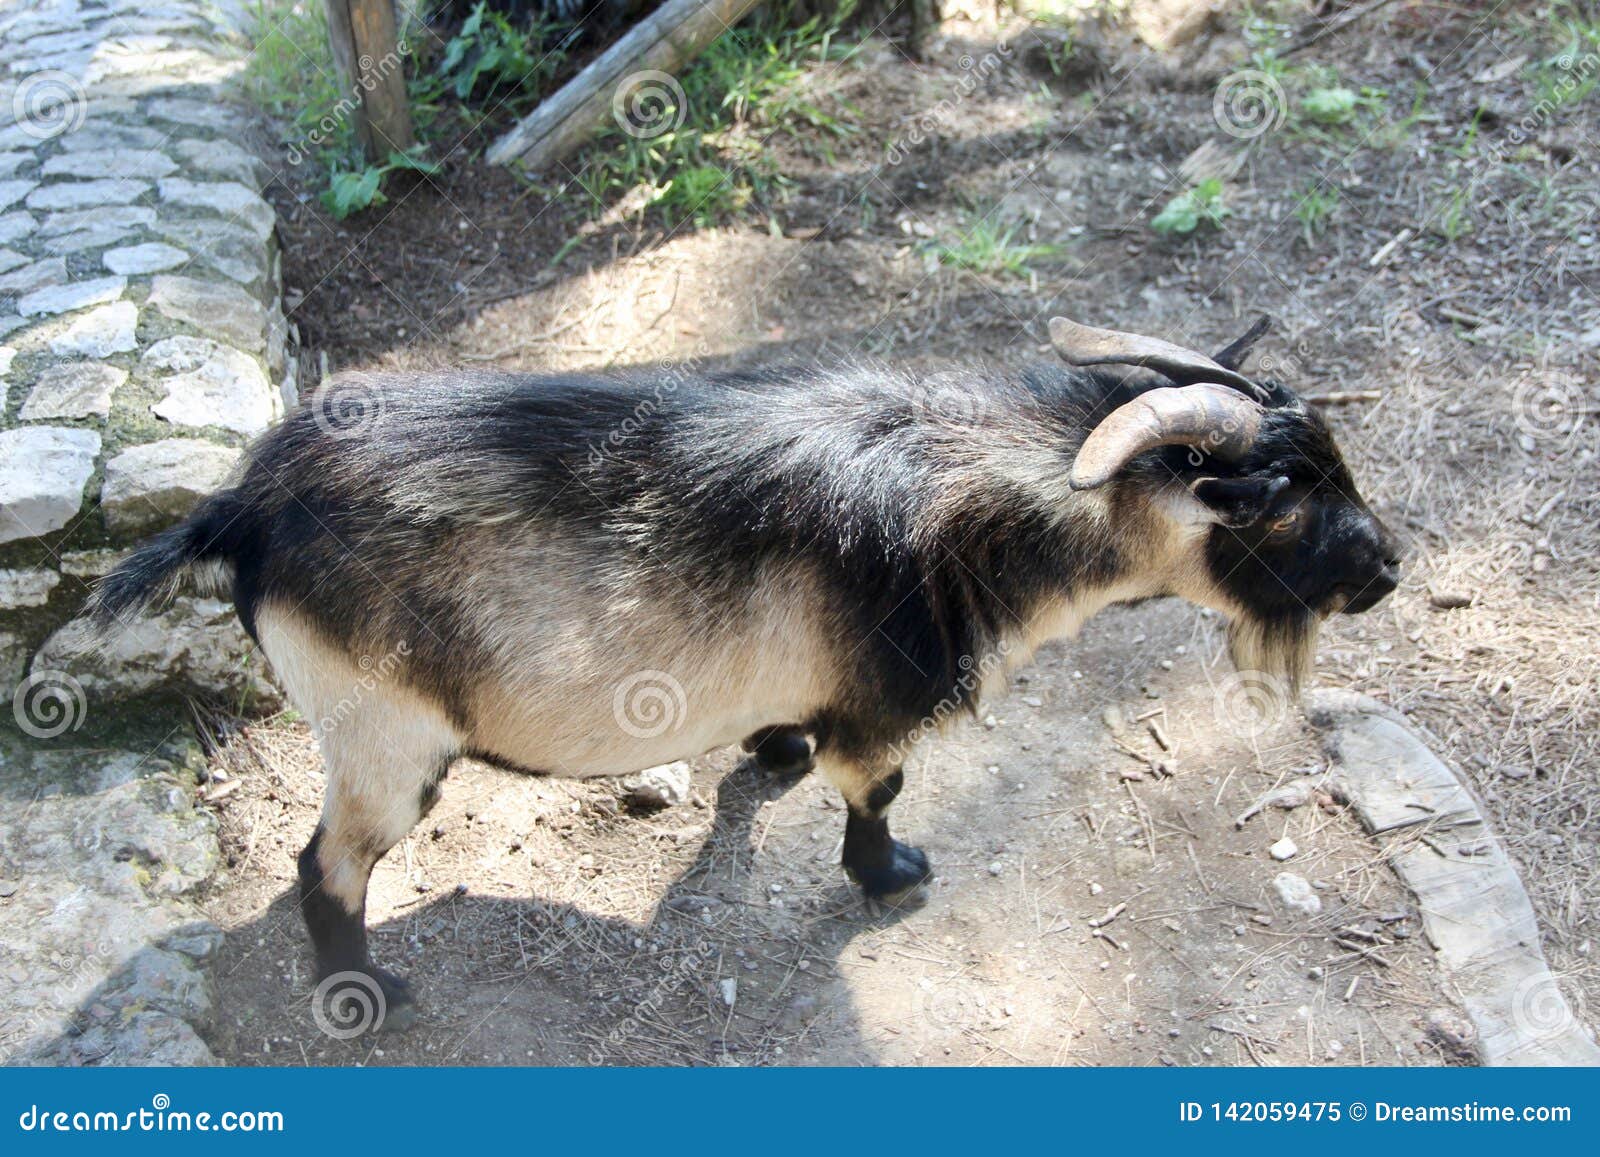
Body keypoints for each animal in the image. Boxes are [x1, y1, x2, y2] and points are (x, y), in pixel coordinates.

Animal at [88, 316, 1401, 1029]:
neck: (972, 500)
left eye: (1337, 462)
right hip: (386, 738)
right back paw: (367, 993)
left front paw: (769, 754)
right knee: (326, 866)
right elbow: (875, 793)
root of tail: (242, 506)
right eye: (1281, 497)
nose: (1387, 565)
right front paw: (889, 875)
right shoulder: (880, 706)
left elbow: (780, 747)